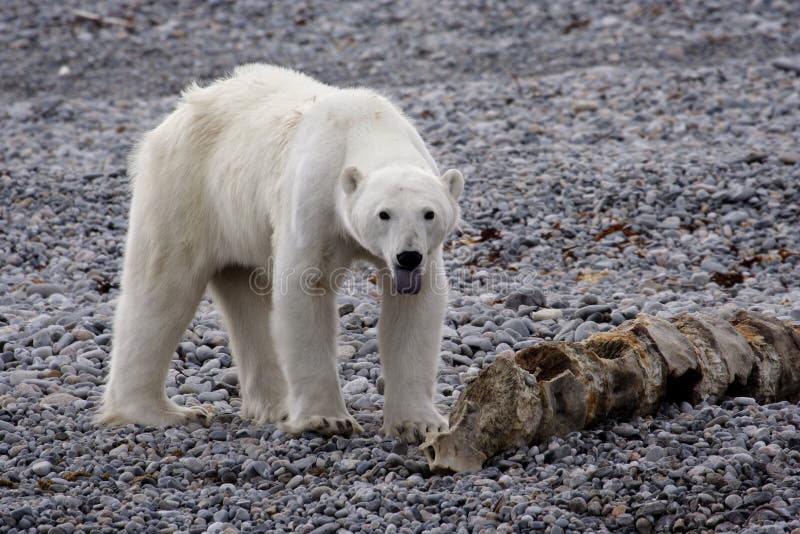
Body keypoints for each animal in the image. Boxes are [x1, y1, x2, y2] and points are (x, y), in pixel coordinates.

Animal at [98, 64, 464, 443]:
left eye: (429, 213)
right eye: (384, 214)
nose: (408, 256)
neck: (365, 126)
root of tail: (178, 113)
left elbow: (414, 307)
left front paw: (419, 423)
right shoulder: (315, 200)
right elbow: (305, 289)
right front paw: (327, 419)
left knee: (245, 295)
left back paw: (276, 405)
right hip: (185, 190)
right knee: (163, 290)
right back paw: (163, 411)